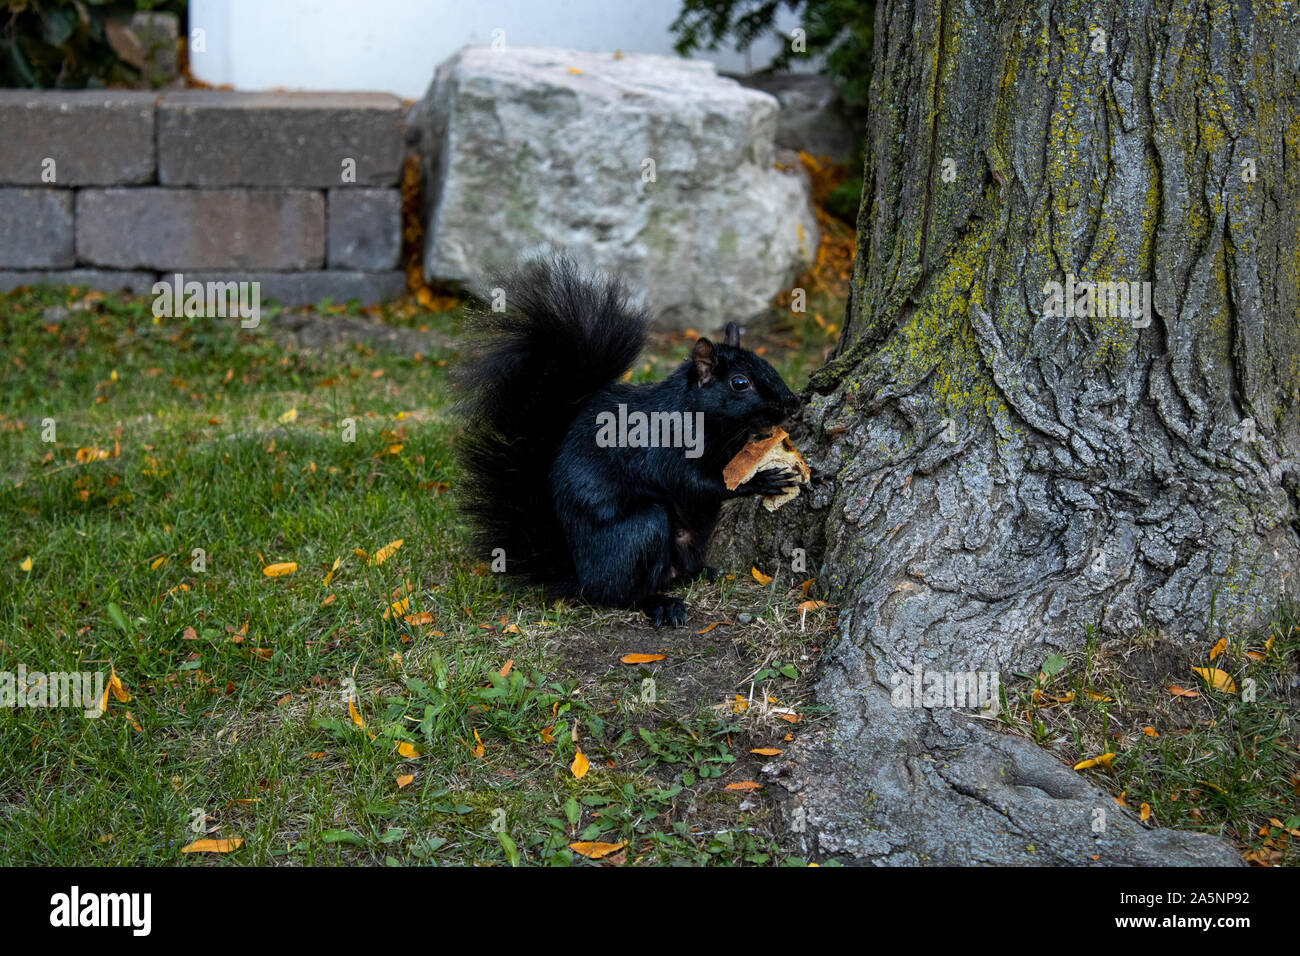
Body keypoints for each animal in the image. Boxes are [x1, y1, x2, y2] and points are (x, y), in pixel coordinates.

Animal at [456, 257, 801, 628]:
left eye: (767, 364)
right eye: (739, 383)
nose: (792, 403)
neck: (704, 420)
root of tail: (582, 576)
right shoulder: (663, 450)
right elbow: (701, 484)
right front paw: (763, 480)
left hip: (693, 536)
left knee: (677, 571)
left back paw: (703, 572)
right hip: (640, 530)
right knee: (620, 594)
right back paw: (658, 603)